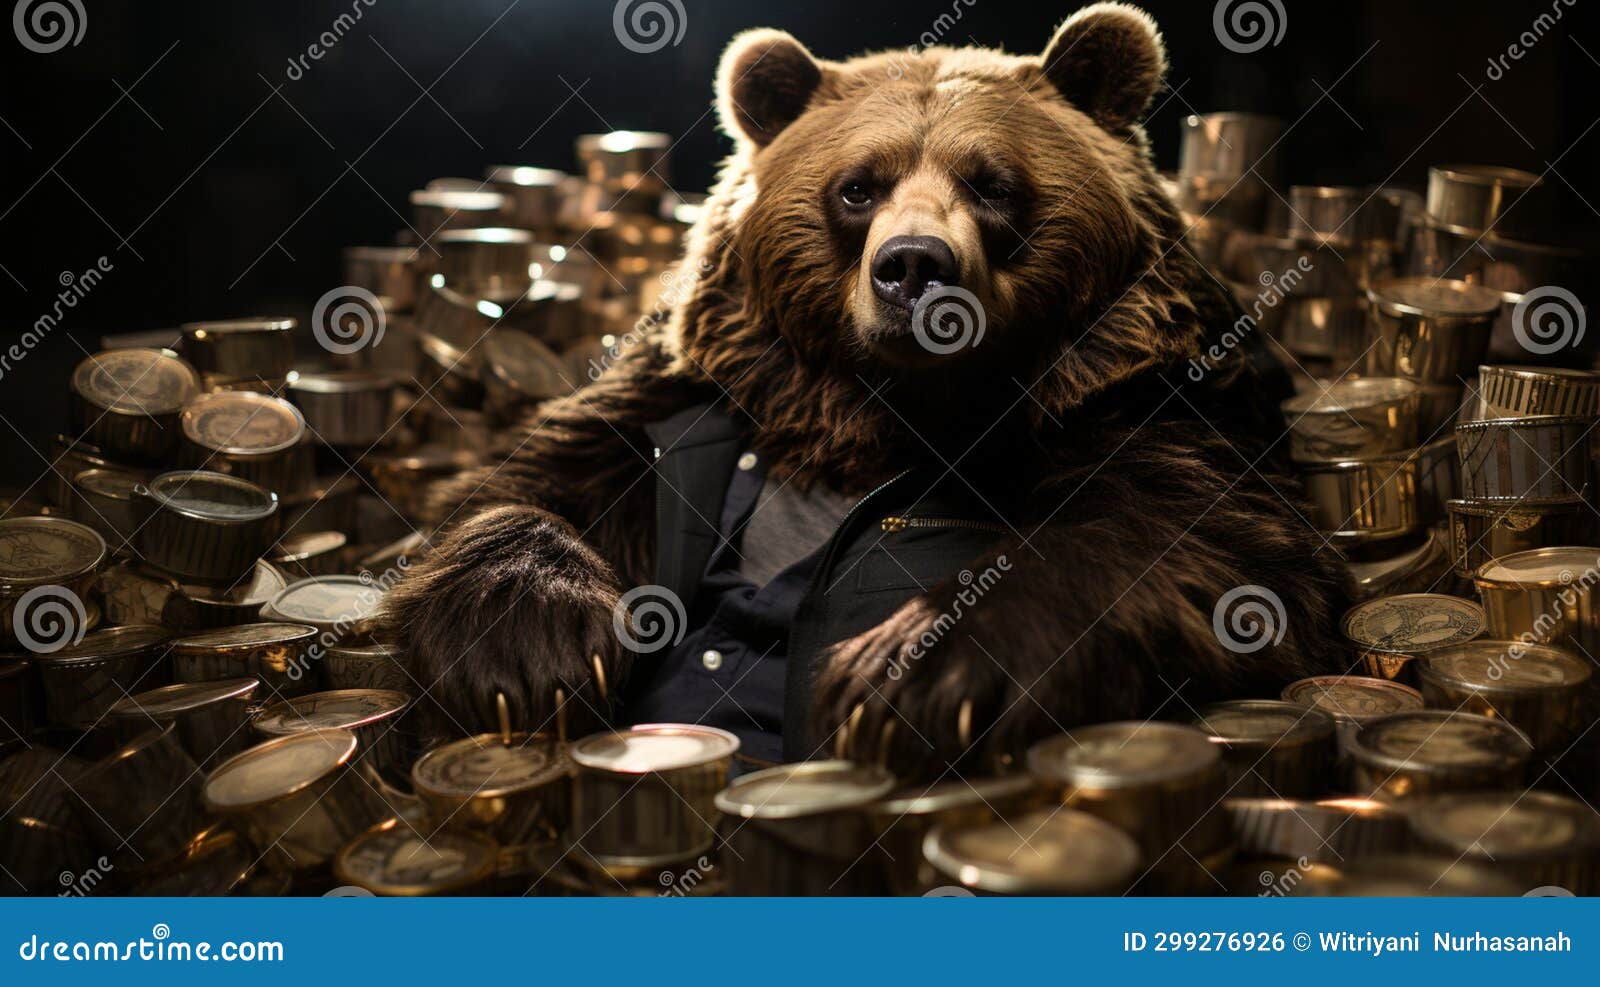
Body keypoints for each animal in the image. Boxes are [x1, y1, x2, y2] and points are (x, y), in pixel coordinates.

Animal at [379, 2, 1351, 780]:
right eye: (858, 186)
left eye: (993, 185)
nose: (915, 265)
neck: (880, 411)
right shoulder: (692, 389)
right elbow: (535, 483)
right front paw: (521, 642)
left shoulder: (1134, 397)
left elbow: (1194, 534)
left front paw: (919, 676)